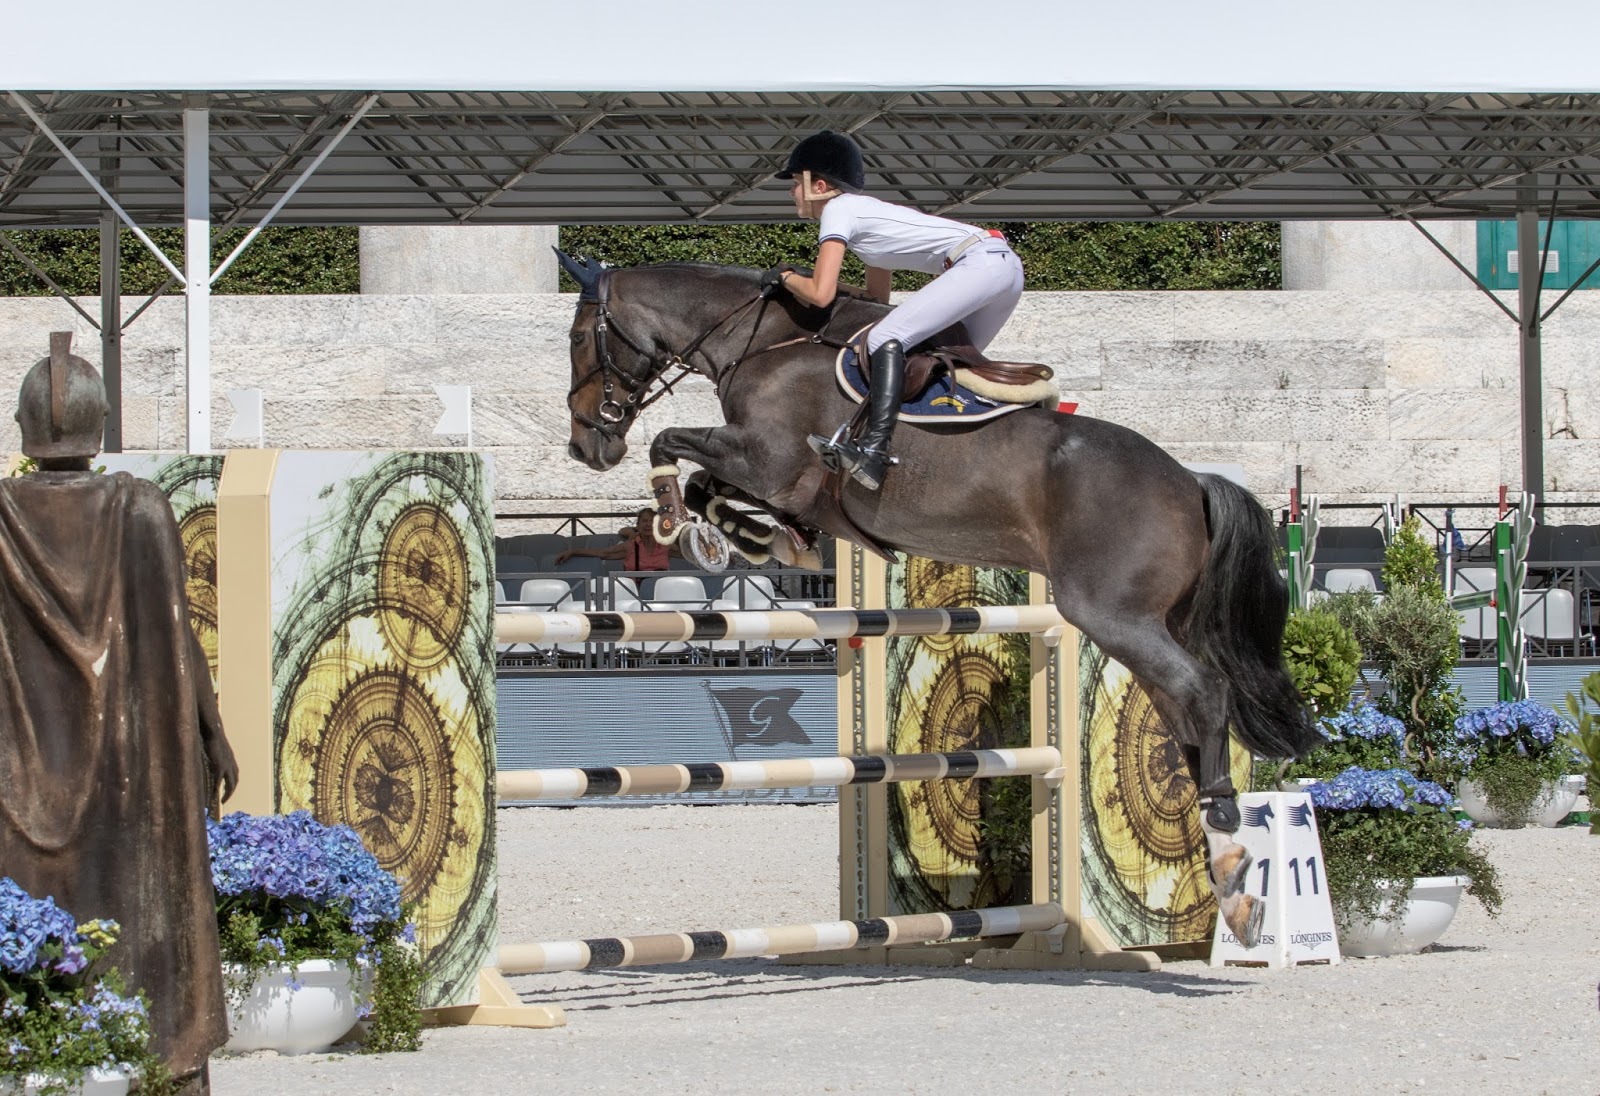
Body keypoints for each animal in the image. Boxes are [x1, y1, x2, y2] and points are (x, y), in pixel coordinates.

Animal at [555, 251, 1317, 947]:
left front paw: (692, 529)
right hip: (1147, 623)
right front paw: (762, 539)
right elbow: (710, 487)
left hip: (1110, 615)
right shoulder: (774, 475)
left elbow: (673, 450)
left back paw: (1229, 847)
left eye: (580, 336)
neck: (765, 340)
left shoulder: (767, 459)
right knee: (1184, 713)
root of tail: (1192, 481)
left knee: (1205, 693)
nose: (586, 446)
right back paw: (1232, 879)